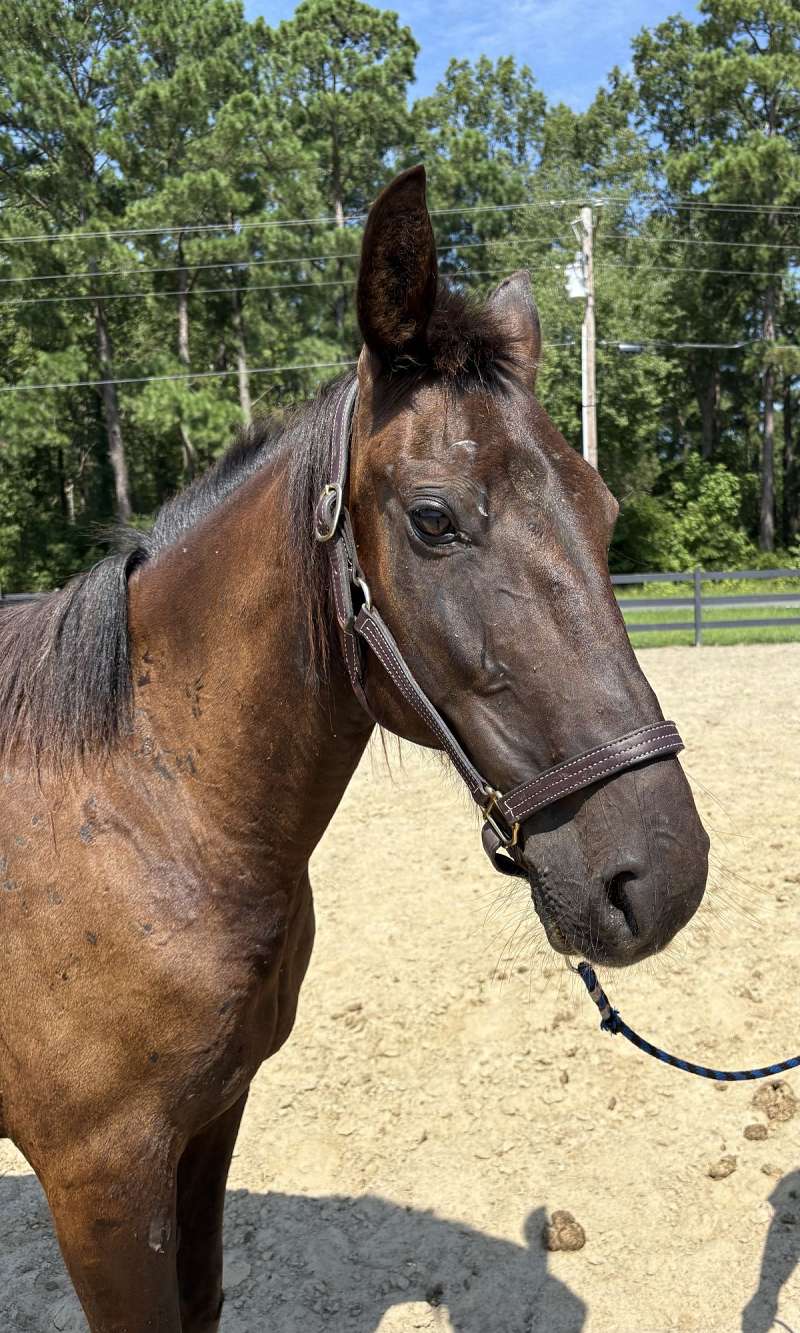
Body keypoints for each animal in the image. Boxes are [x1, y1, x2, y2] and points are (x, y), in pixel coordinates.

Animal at [0, 165, 709, 1332]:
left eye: (603, 509)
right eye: (432, 519)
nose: (661, 878)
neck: (144, 815)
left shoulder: (210, 1121)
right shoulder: (100, 1177)